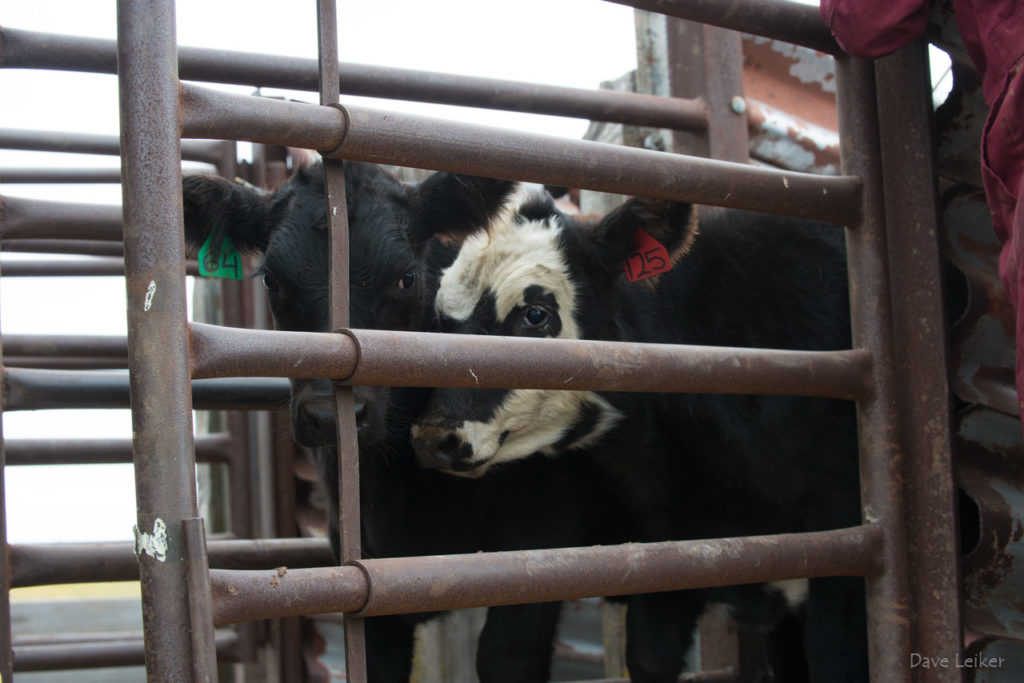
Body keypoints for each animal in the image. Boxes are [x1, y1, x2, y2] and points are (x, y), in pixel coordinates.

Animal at [409, 187, 866, 682]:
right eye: (439, 319)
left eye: (534, 315)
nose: (434, 438)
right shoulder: (671, 554)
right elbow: (648, 654)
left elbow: (836, 657)